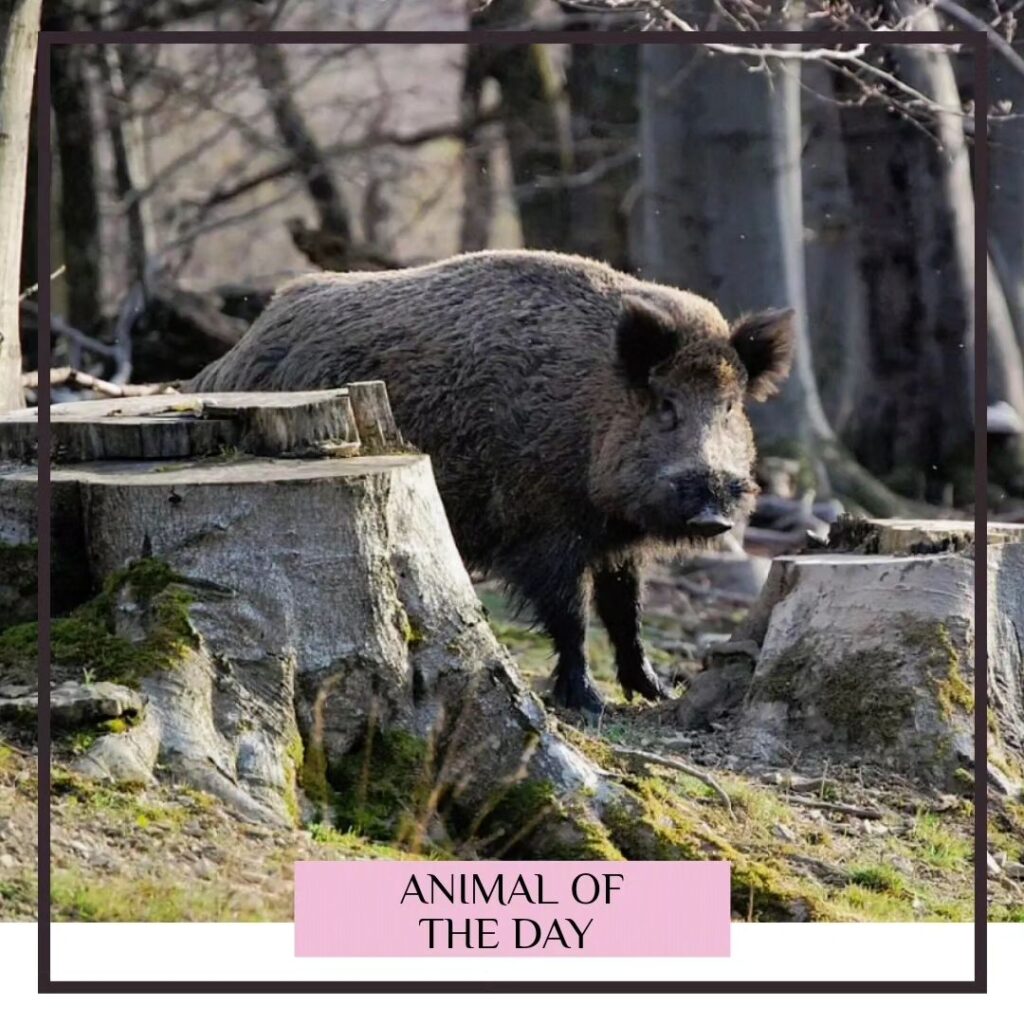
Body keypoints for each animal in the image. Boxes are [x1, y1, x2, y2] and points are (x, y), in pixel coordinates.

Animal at [187, 250, 794, 715]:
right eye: (665, 405)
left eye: (730, 406)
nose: (713, 513)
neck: (592, 410)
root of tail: (224, 362)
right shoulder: (543, 527)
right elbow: (572, 616)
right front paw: (588, 704)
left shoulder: (615, 542)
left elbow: (626, 612)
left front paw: (656, 692)